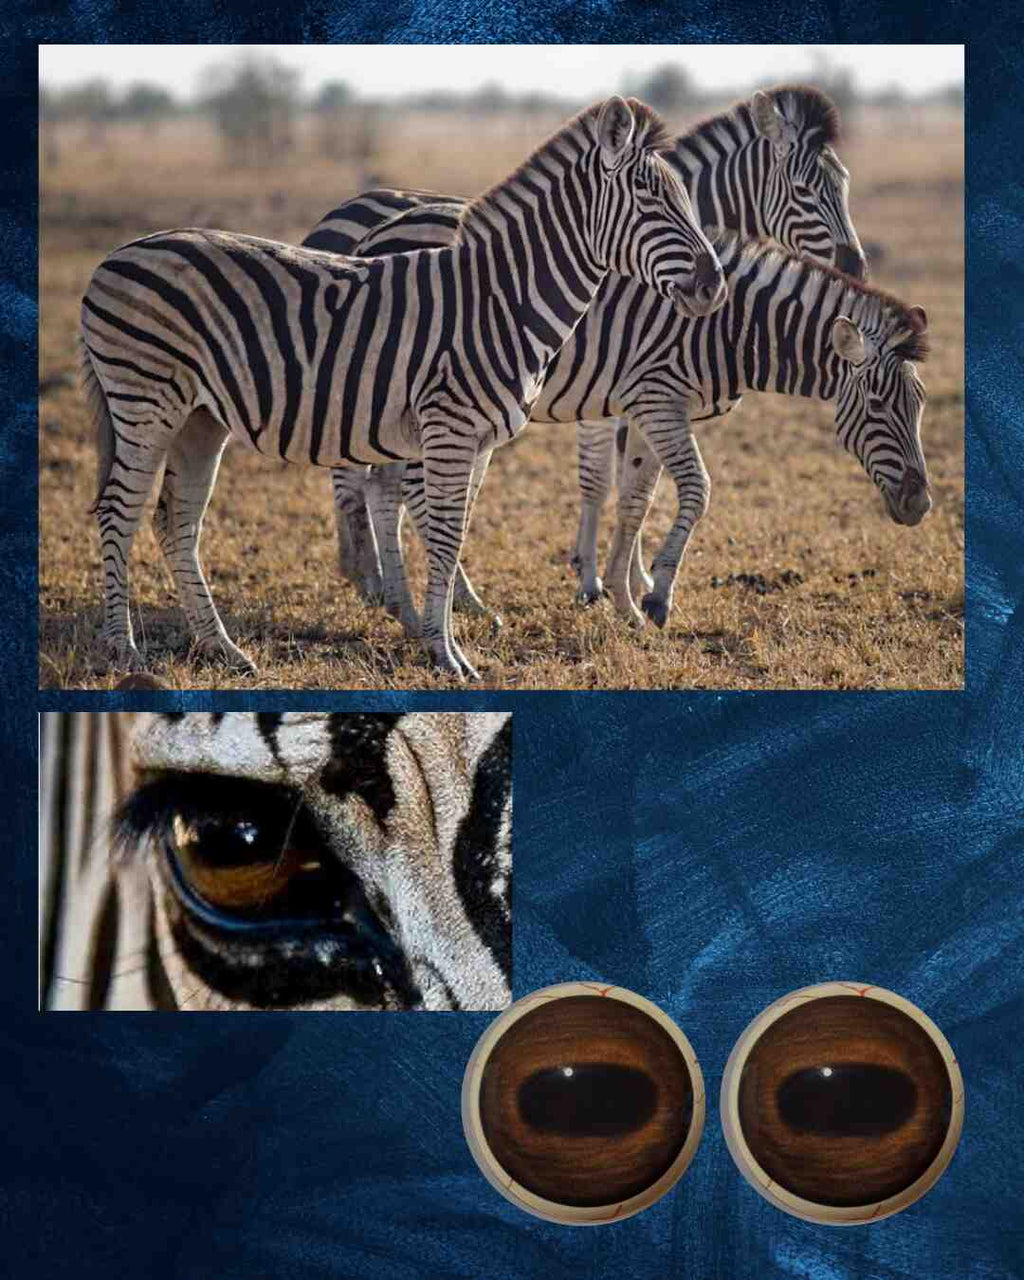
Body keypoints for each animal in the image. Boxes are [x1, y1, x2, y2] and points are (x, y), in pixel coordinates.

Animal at [79, 96, 726, 681]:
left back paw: (222, 649)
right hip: (145, 401)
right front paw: (446, 655)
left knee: (176, 520)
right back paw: (124, 651)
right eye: (648, 197)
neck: (503, 300)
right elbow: (442, 536)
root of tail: (116, 254)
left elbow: (453, 534)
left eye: (685, 199)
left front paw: (442, 638)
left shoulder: (476, 439)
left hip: (199, 418)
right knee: (120, 511)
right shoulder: (450, 428)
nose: (714, 287)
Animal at [316, 85, 868, 622]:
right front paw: (602, 583)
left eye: (845, 184)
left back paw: (375, 580)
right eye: (804, 191)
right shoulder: (621, 389)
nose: (857, 269)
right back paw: (405, 587)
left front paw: (627, 579)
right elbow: (606, 484)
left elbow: (629, 484)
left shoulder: (614, 397)